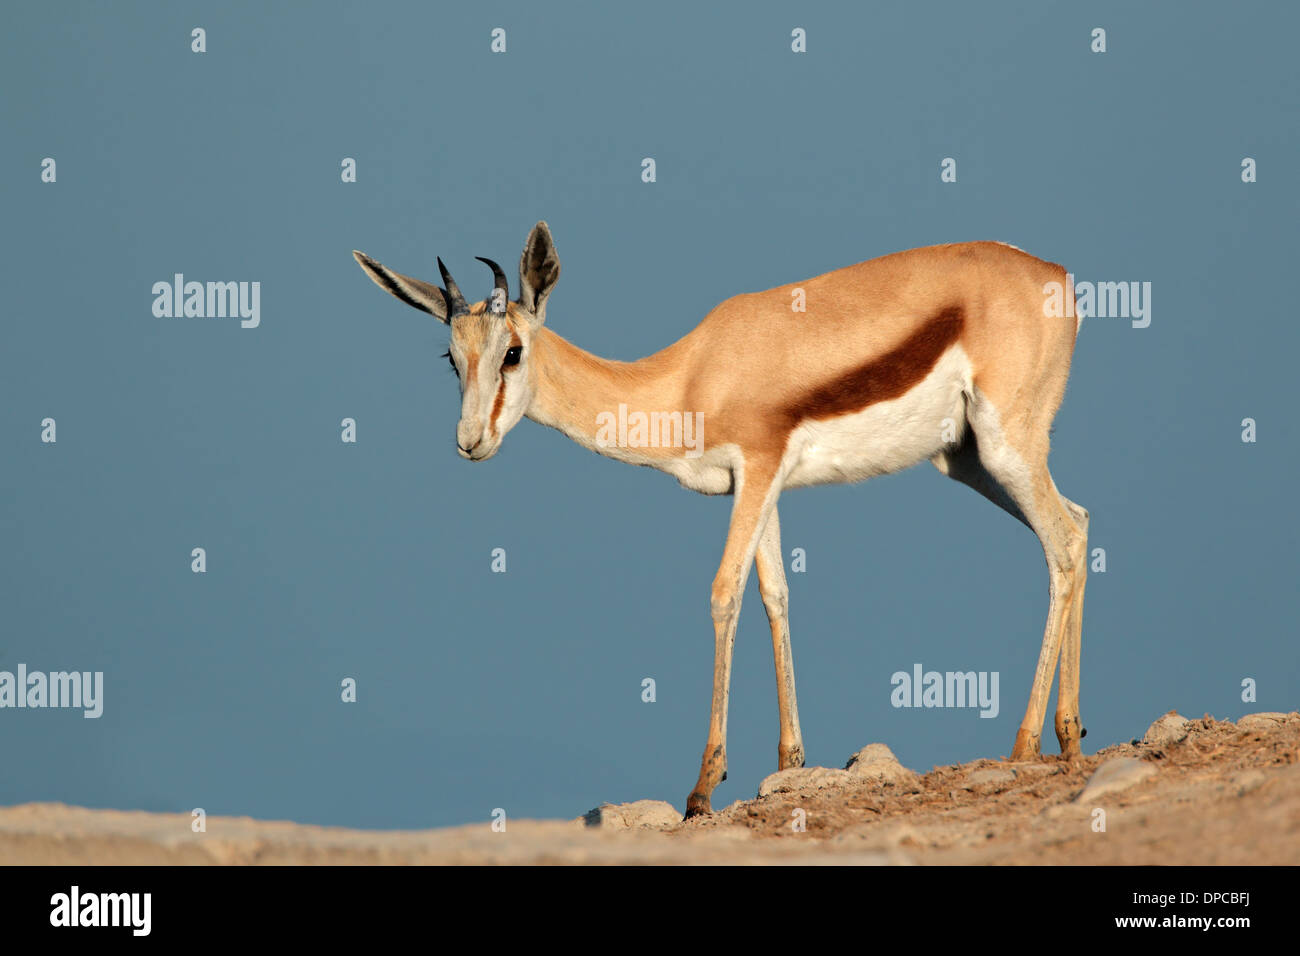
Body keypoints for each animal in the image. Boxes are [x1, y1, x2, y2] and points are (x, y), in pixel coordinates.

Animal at [353, 222, 1089, 818]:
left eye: (512, 352)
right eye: (453, 357)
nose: (470, 442)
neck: (687, 378)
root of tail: (1054, 272)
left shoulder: (758, 468)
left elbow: (724, 592)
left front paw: (704, 789)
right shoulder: (759, 487)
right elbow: (775, 595)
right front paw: (790, 764)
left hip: (1006, 446)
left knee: (1062, 541)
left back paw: (1025, 745)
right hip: (966, 459)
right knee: (1080, 526)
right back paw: (1069, 736)